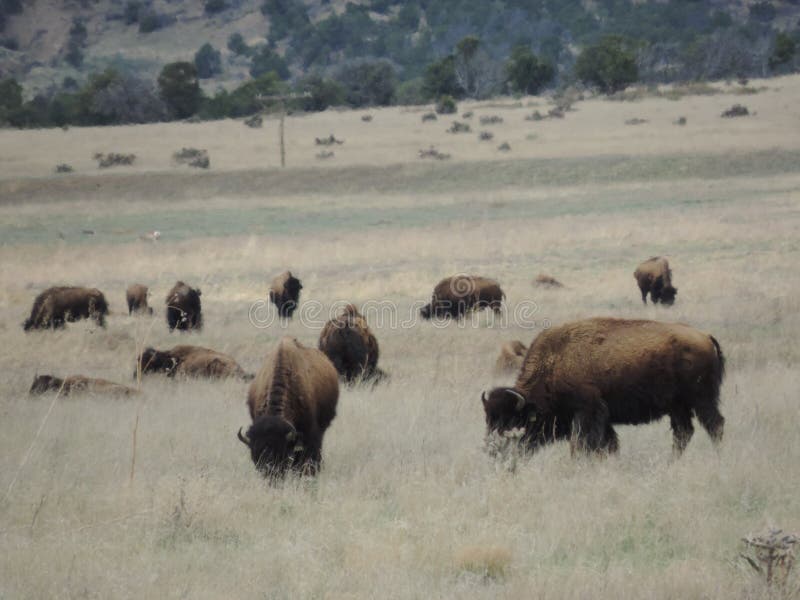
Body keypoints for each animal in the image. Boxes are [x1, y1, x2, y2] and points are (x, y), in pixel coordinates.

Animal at [482, 317, 725, 457]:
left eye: (513, 422)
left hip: (701, 399)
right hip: (677, 406)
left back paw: (716, 457)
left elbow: (580, 444)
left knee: (714, 425)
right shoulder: (603, 419)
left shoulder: (587, 412)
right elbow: (610, 444)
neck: (555, 360)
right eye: (489, 421)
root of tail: (705, 336)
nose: (492, 451)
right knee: (684, 432)